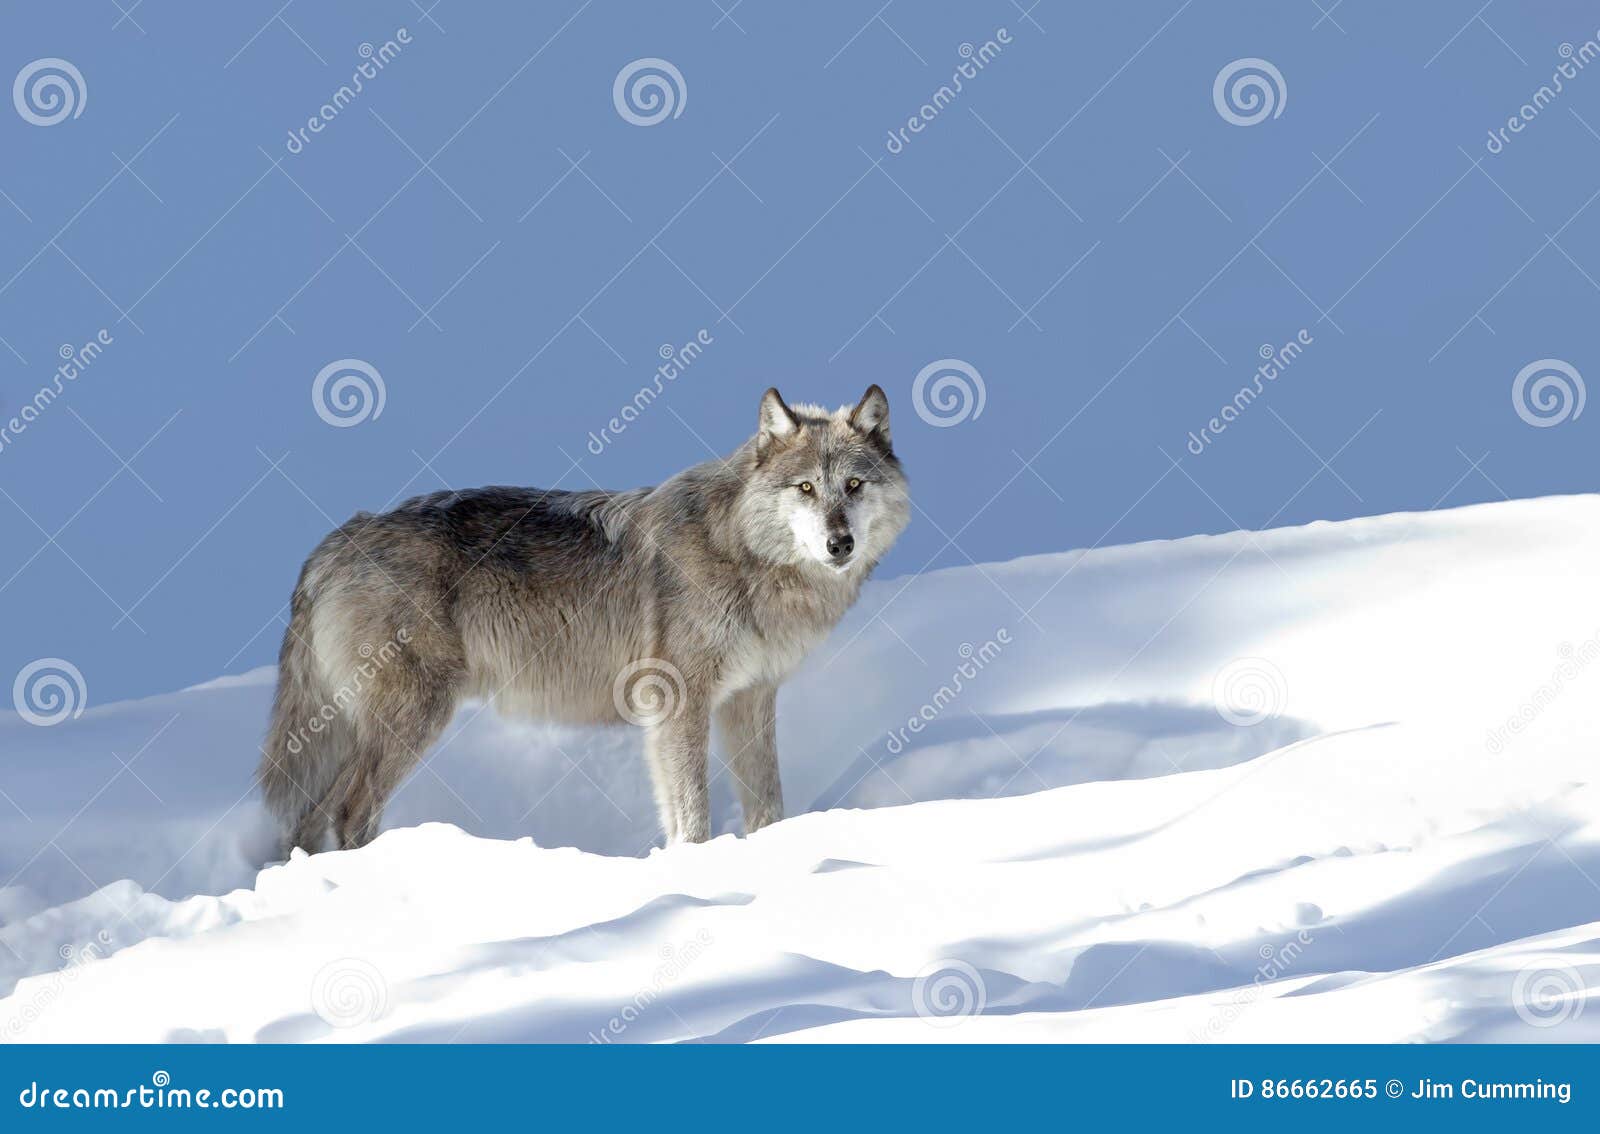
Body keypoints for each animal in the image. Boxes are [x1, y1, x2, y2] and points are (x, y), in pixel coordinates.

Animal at [257, 385, 910, 855]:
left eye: (853, 485)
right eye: (805, 489)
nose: (840, 544)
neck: (744, 553)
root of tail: (334, 543)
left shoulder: (749, 699)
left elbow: (767, 807)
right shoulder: (678, 702)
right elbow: (691, 816)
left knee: (306, 820)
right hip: (414, 717)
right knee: (350, 812)